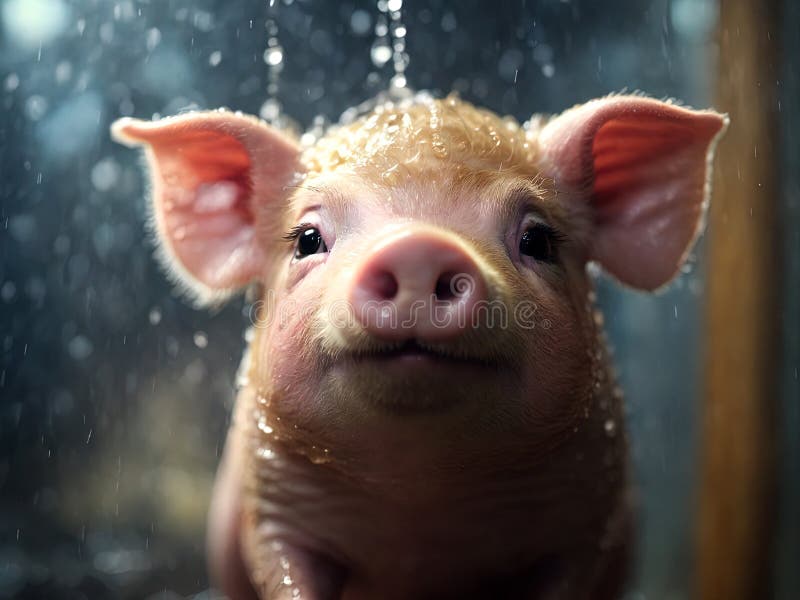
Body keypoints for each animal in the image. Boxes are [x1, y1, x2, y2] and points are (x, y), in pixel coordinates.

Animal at [111, 93, 727, 599]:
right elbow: (285, 574)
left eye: (537, 240)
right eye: (308, 239)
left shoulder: (586, 520)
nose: (418, 245)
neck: (420, 500)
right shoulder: (271, 512)